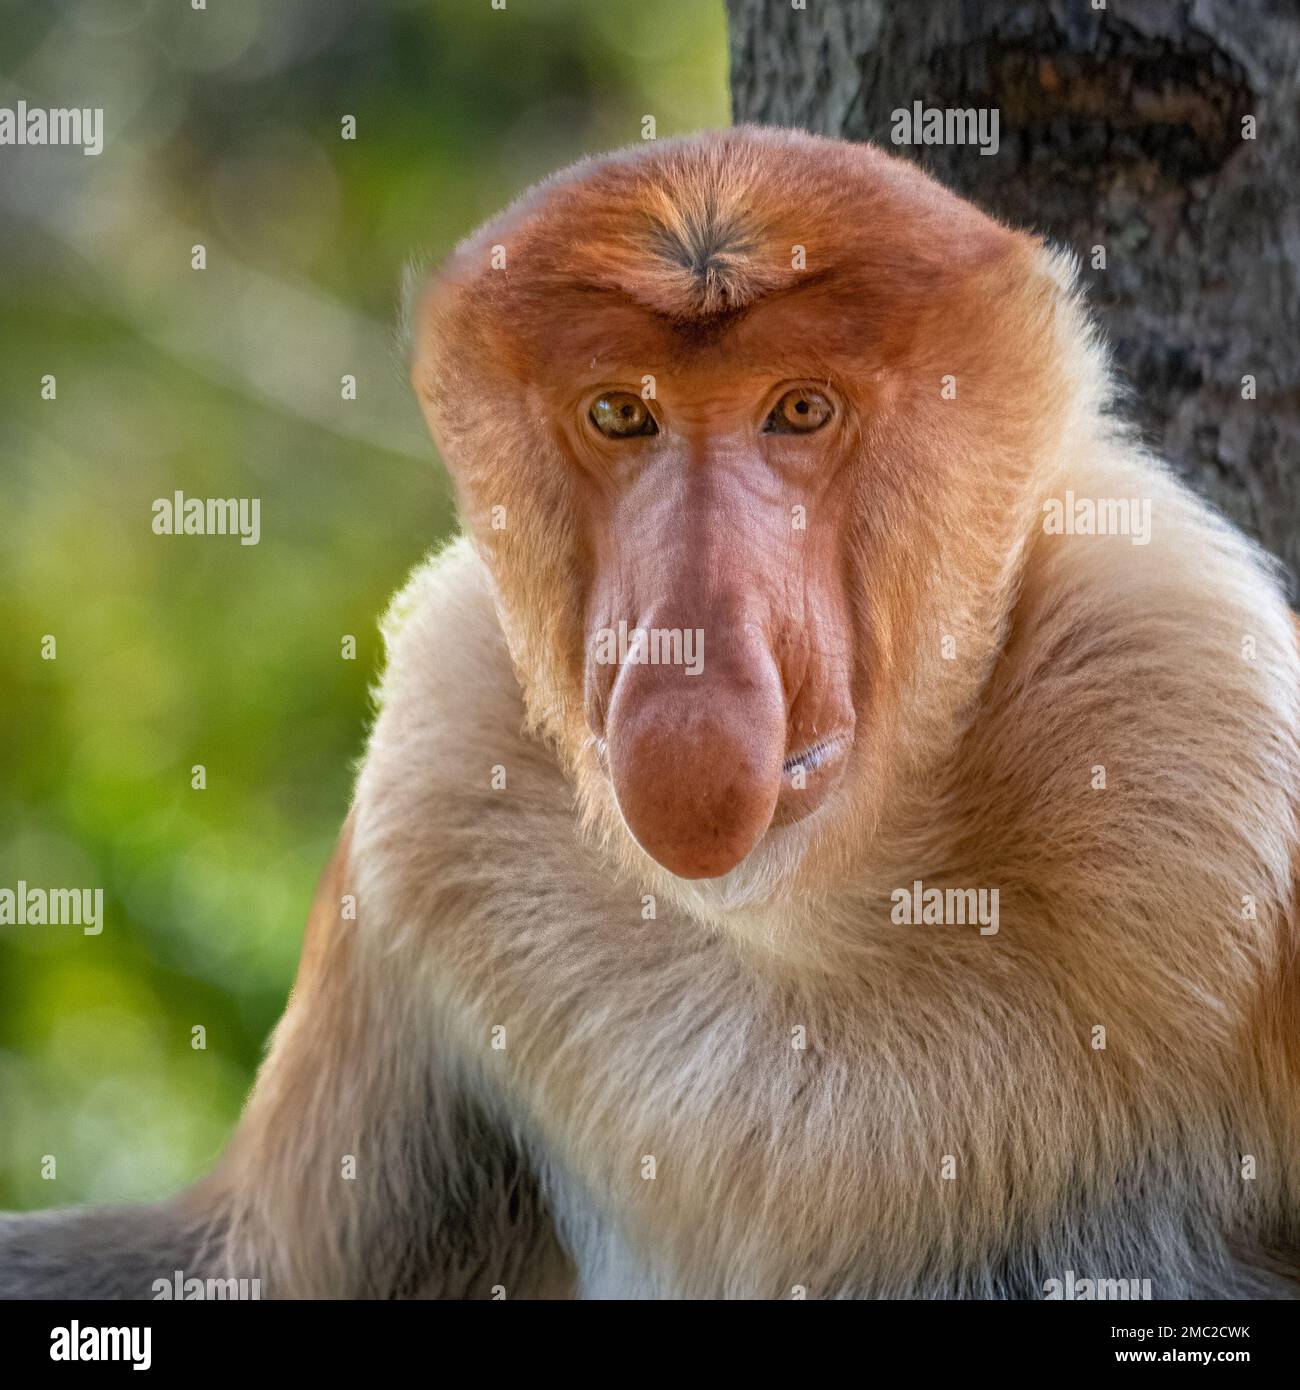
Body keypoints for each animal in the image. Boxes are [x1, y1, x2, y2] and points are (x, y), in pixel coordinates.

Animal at [3, 124, 1299, 1300]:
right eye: (622, 414)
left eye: (799, 410)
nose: (688, 647)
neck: (807, 913)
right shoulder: (439, 751)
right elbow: (244, 1262)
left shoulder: (1194, 692)